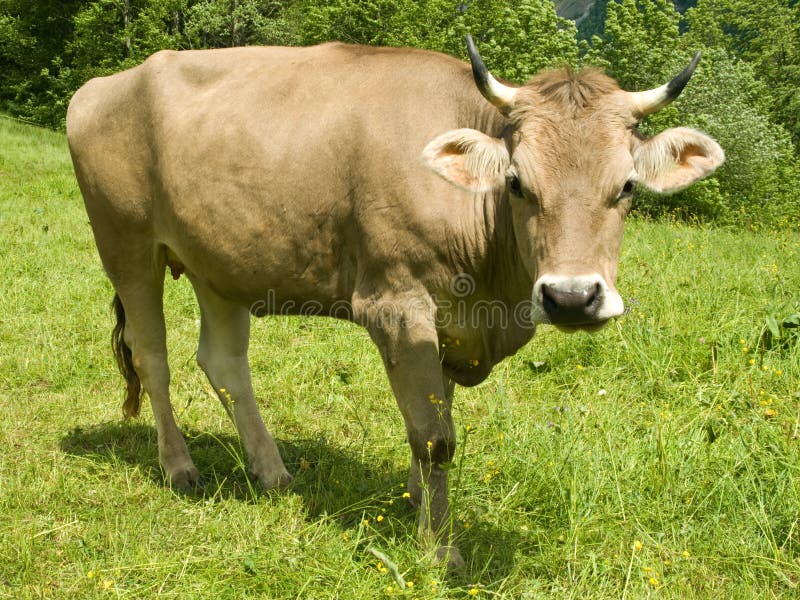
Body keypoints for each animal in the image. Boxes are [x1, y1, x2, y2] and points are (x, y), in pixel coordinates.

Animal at [66, 36, 724, 568]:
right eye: (517, 183)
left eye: (627, 186)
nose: (571, 297)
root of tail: (104, 85)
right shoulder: (396, 304)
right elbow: (435, 436)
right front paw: (439, 549)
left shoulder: (453, 323)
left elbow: (436, 418)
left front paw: (417, 503)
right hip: (125, 244)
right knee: (153, 356)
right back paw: (181, 467)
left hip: (221, 262)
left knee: (223, 362)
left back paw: (272, 473)